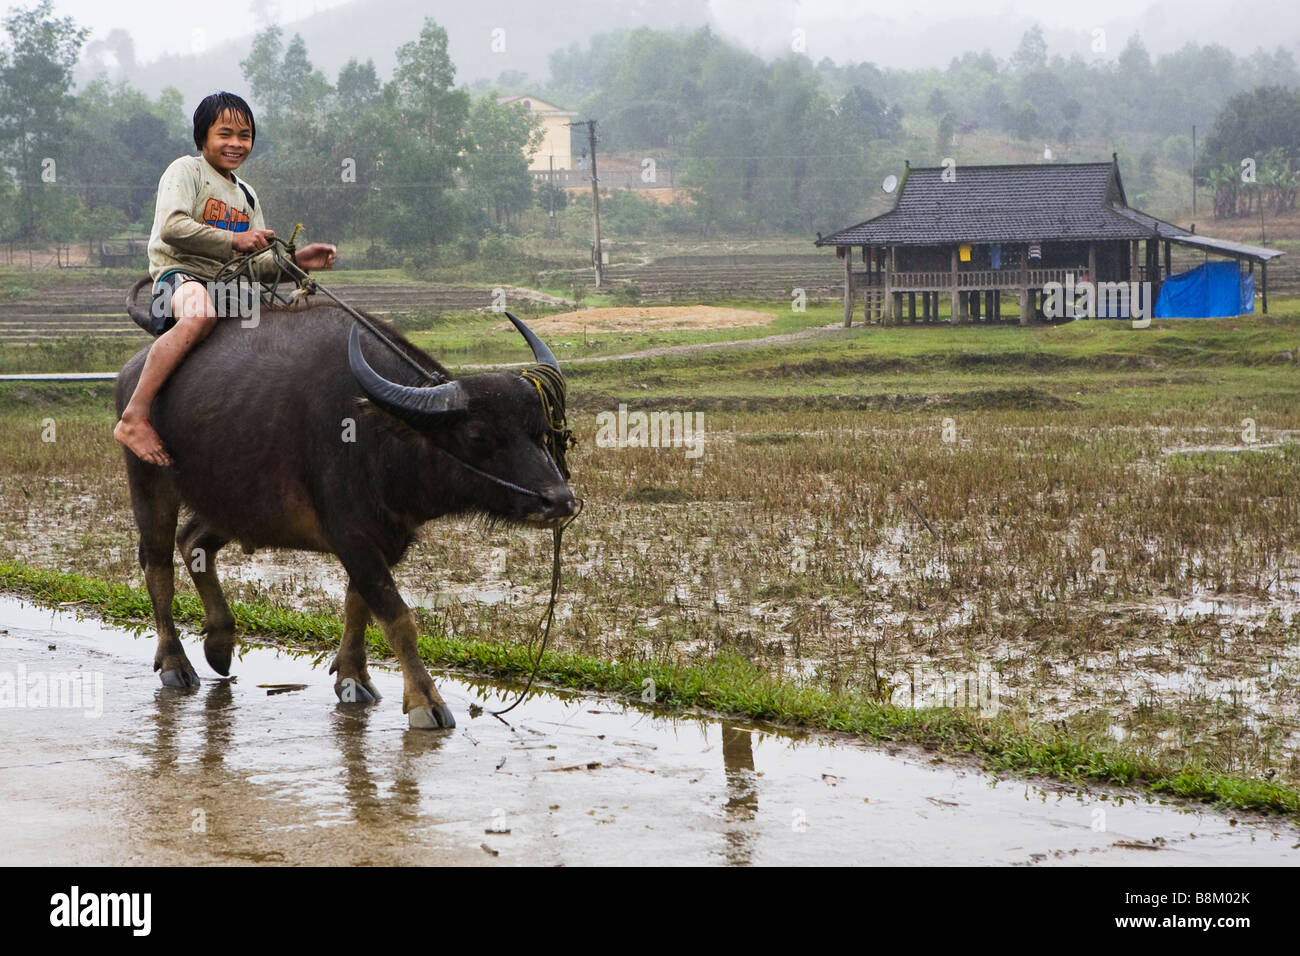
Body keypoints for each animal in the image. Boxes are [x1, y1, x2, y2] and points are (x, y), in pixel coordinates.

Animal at [117, 285, 577, 728]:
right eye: (479, 436)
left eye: (540, 430)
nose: (558, 500)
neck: (381, 434)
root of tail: (131, 373)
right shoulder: (352, 535)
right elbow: (398, 619)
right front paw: (425, 701)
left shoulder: (384, 538)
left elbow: (359, 606)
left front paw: (353, 679)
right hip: (150, 483)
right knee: (158, 565)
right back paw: (176, 664)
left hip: (236, 502)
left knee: (193, 539)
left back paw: (220, 640)